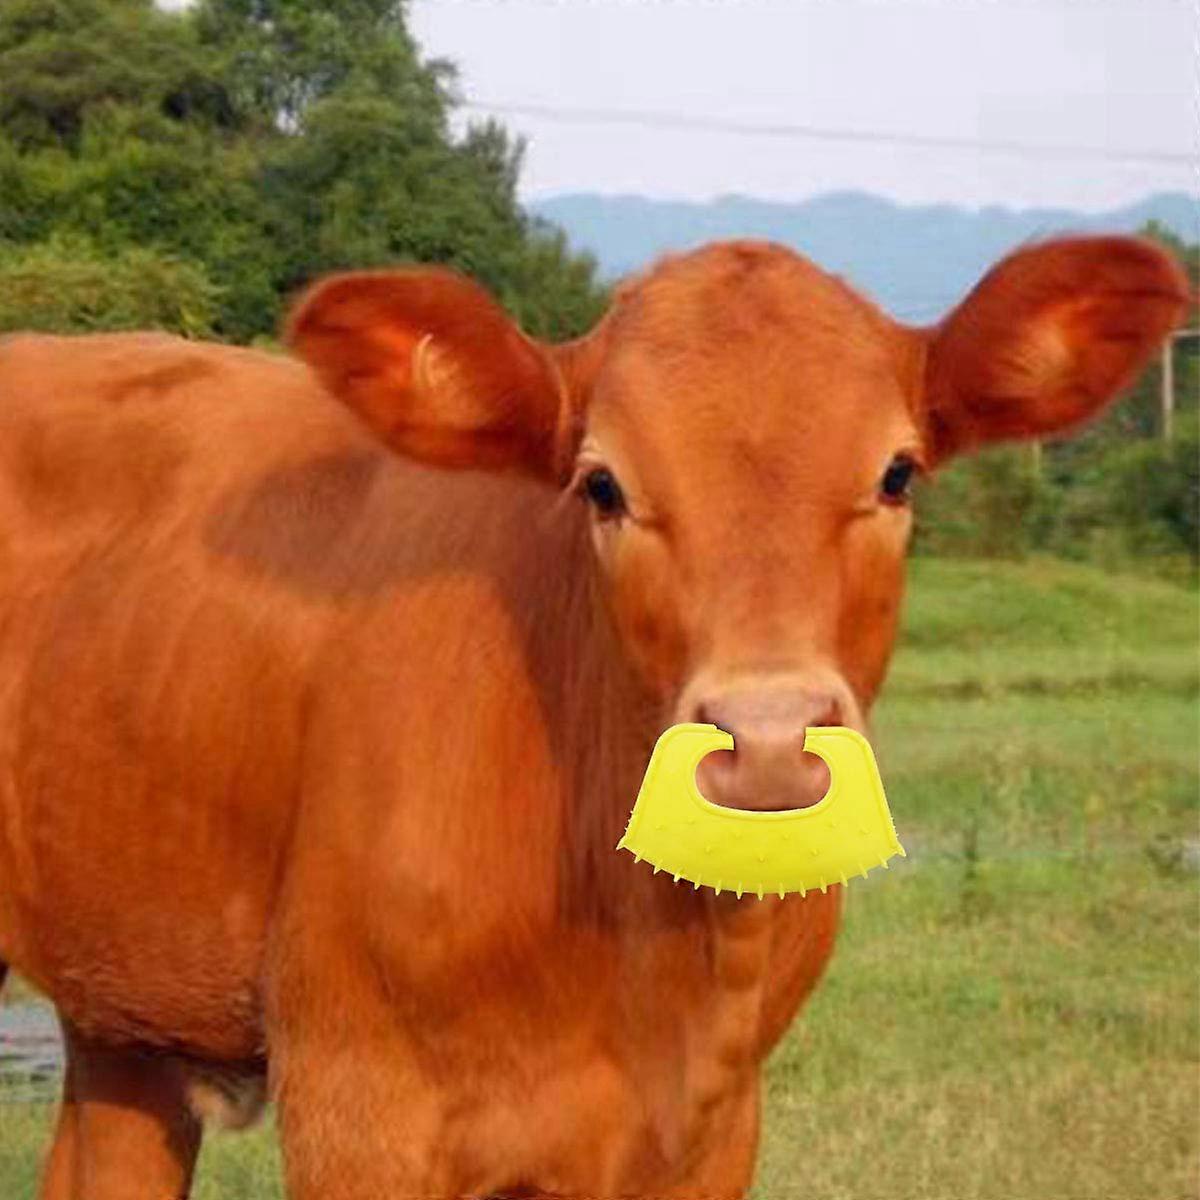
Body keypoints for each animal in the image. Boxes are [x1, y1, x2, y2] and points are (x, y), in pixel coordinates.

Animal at [0, 235, 1186, 1199]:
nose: (766, 739)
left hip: (125, 1003)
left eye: (897, 474)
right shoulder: (356, 1102)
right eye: (603, 485)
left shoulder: (714, 1136)